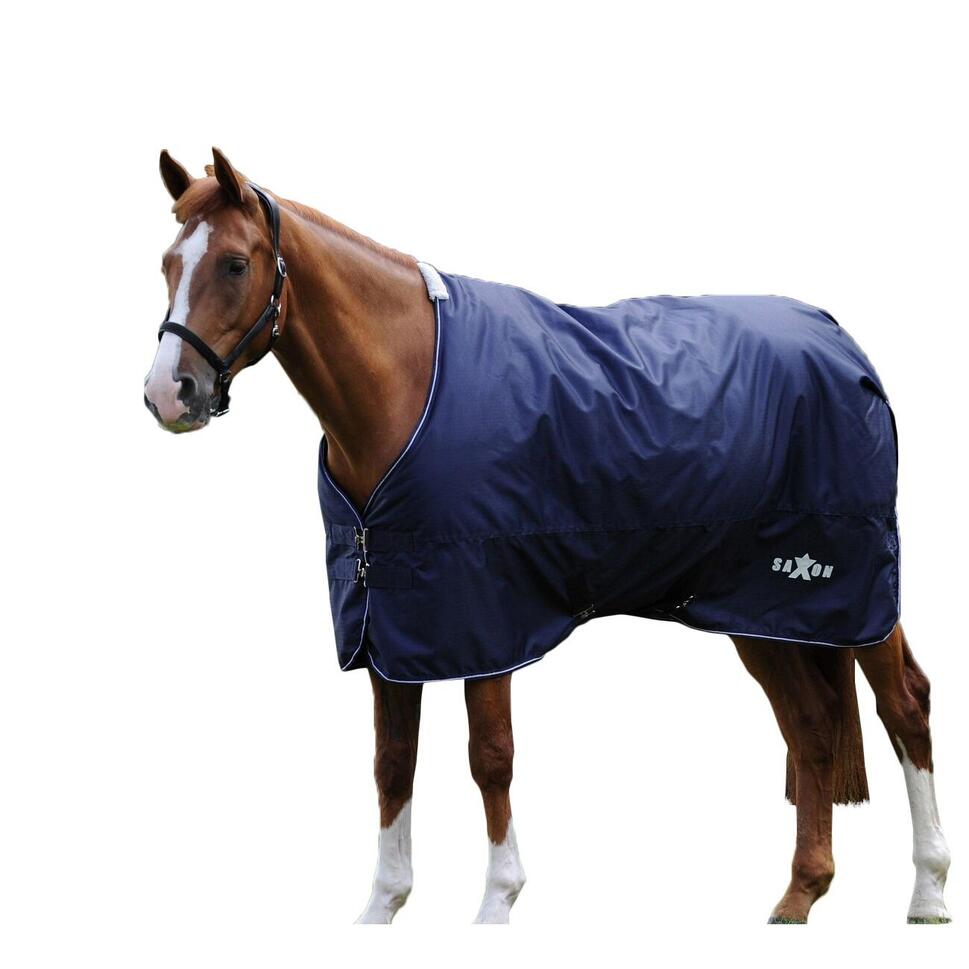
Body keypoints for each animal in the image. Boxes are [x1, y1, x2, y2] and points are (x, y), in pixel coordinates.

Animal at [144, 148, 951, 925]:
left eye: (234, 264)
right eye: (167, 264)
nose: (167, 395)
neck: (408, 385)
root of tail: (836, 338)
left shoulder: (485, 618)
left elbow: (490, 756)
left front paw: (498, 899)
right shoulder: (391, 628)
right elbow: (392, 762)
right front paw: (384, 904)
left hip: (850, 589)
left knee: (904, 705)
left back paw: (928, 892)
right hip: (762, 611)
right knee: (810, 725)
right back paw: (799, 895)